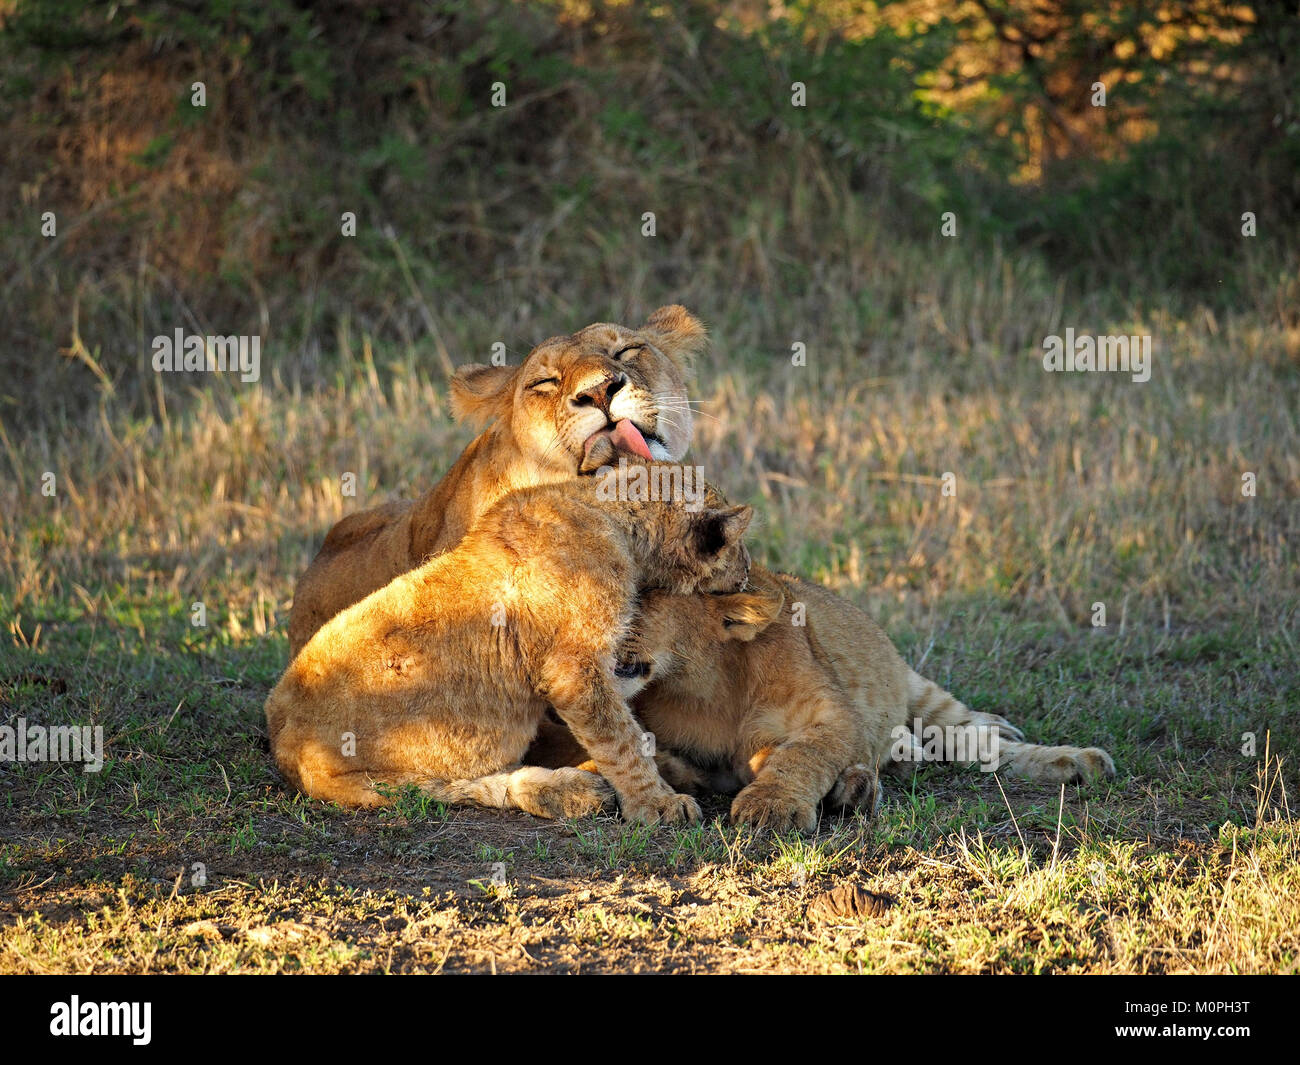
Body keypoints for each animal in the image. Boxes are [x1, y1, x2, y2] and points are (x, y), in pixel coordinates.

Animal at [264, 466, 753, 824]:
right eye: (739, 548)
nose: (749, 571)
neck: (606, 510)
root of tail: (281, 738)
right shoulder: (573, 668)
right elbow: (623, 739)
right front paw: (658, 805)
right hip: (387, 774)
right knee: (461, 787)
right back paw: (574, 792)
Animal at [532, 565, 1116, 833]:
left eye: (640, 589)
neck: (702, 682)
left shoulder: (836, 715)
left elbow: (802, 753)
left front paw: (771, 804)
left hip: (916, 686)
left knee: (974, 737)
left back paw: (1076, 761)